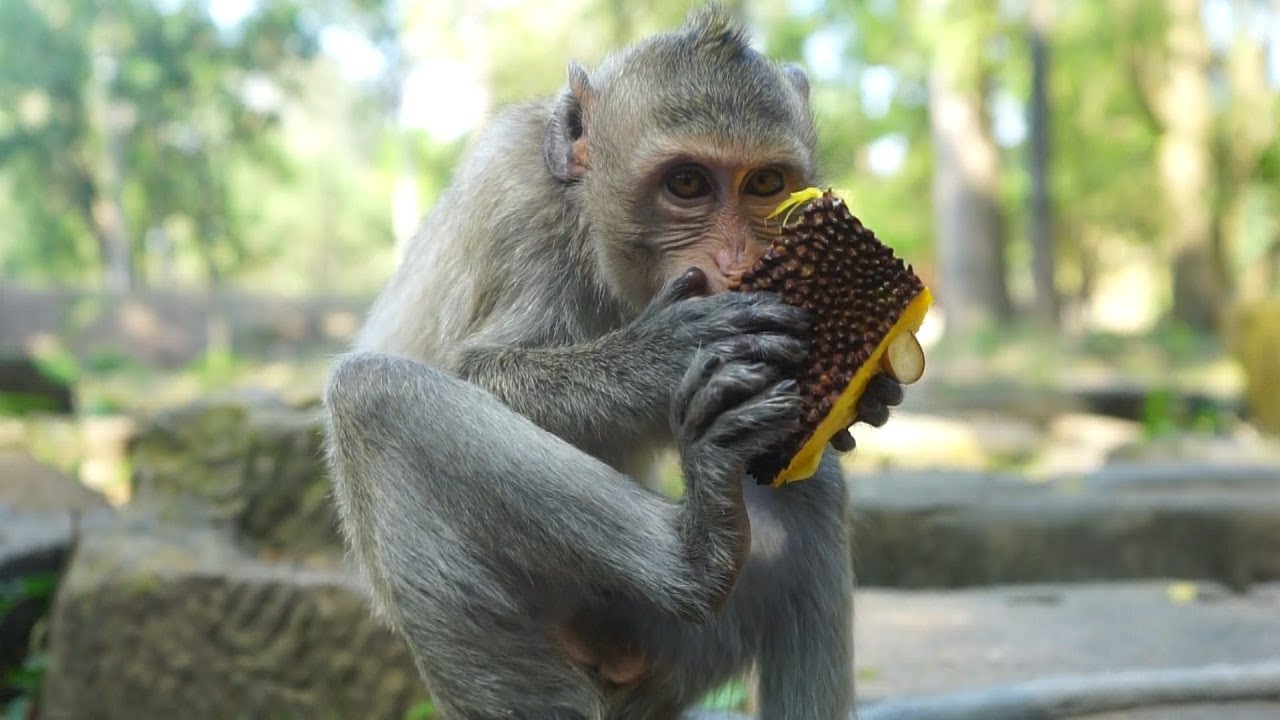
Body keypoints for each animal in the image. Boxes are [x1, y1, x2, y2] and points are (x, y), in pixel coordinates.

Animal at [323, 7, 905, 719]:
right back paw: (696, 556)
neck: (587, 226)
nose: (738, 264)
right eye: (686, 184)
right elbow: (475, 373)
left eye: (765, 184)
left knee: (810, 495)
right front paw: (665, 353)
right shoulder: (518, 202)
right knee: (372, 394)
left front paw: (870, 393)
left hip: (667, 645)